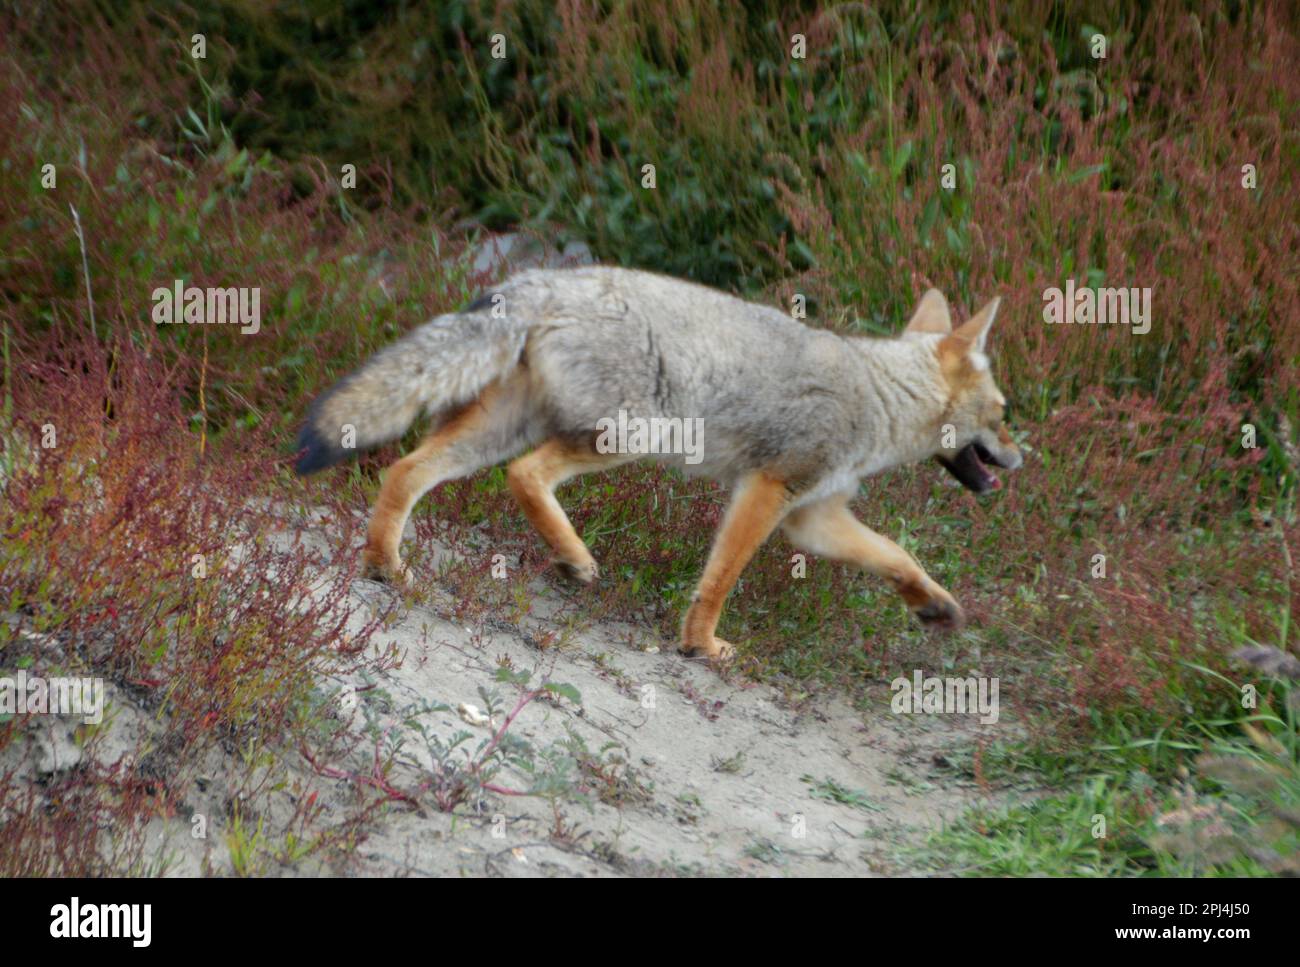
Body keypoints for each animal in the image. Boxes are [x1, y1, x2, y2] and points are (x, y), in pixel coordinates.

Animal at [294, 266, 1022, 662]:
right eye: (1005, 412)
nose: (1023, 458)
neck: (878, 394)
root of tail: (548, 278)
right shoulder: (768, 489)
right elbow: (721, 580)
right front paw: (701, 645)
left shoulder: (811, 516)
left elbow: (899, 555)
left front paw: (937, 606)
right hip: (626, 438)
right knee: (525, 475)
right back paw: (574, 559)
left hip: (495, 434)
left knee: (404, 471)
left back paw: (387, 565)